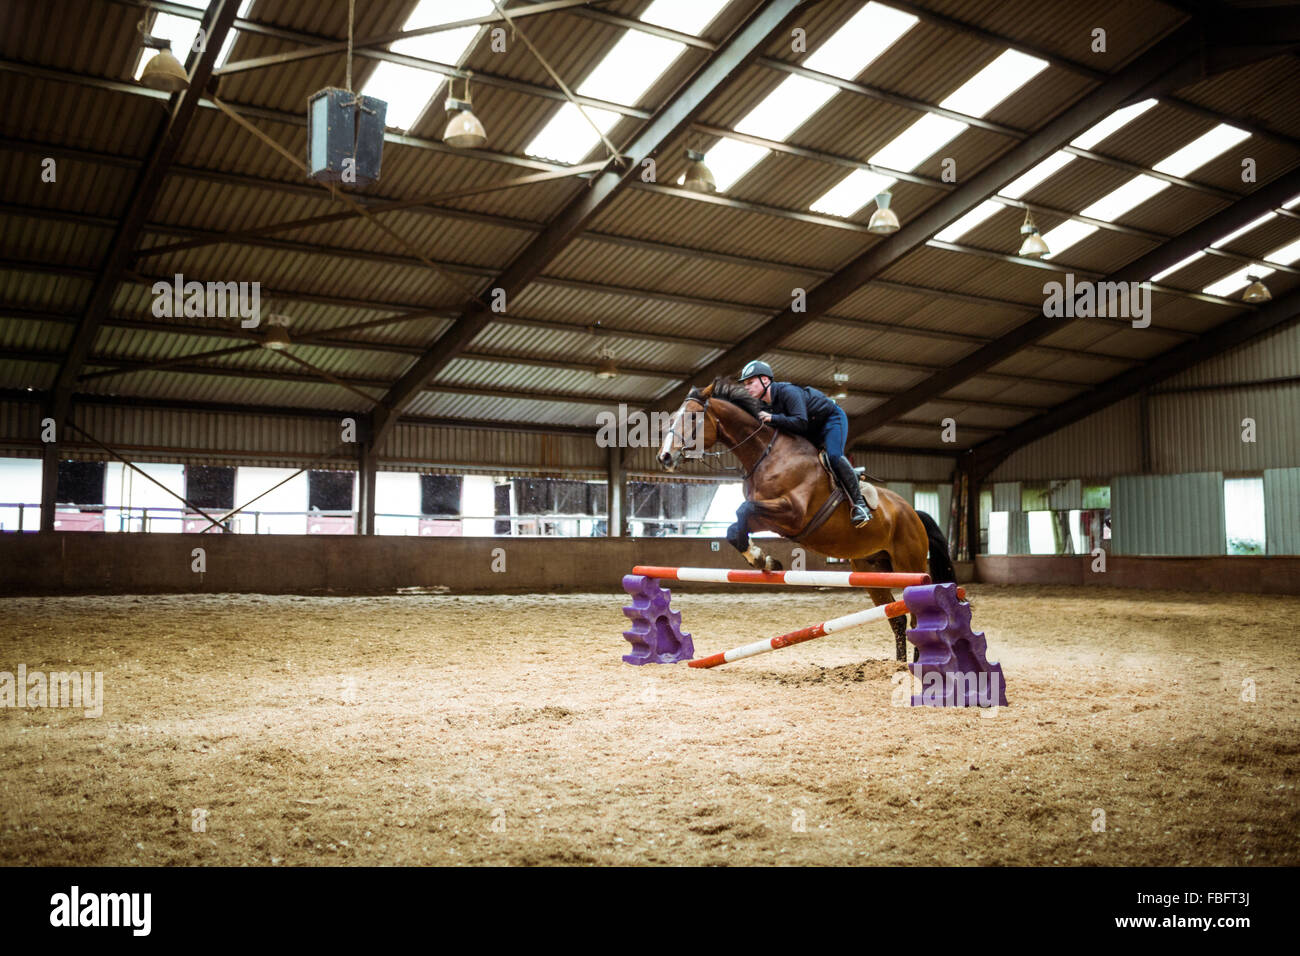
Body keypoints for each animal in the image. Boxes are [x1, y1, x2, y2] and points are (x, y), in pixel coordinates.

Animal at [657, 379, 956, 661]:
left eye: (693, 417)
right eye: (670, 420)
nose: (665, 457)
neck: (766, 454)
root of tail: (913, 512)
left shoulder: (793, 514)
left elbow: (743, 510)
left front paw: (760, 558)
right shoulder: (772, 519)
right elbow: (735, 527)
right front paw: (763, 560)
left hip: (910, 565)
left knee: (917, 615)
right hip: (870, 569)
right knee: (898, 618)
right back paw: (899, 664)